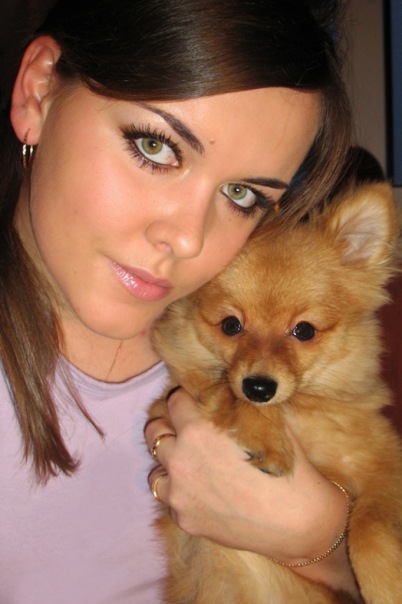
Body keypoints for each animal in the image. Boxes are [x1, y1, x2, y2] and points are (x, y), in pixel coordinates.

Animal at [149, 182, 402, 603]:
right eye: (230, 325)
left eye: (304, 331)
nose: (259, 386)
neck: (299, 410)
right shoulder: (173, 403)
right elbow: (224, 393)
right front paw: (268, 438)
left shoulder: (382, 464)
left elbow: (369, 530)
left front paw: (387, 584)